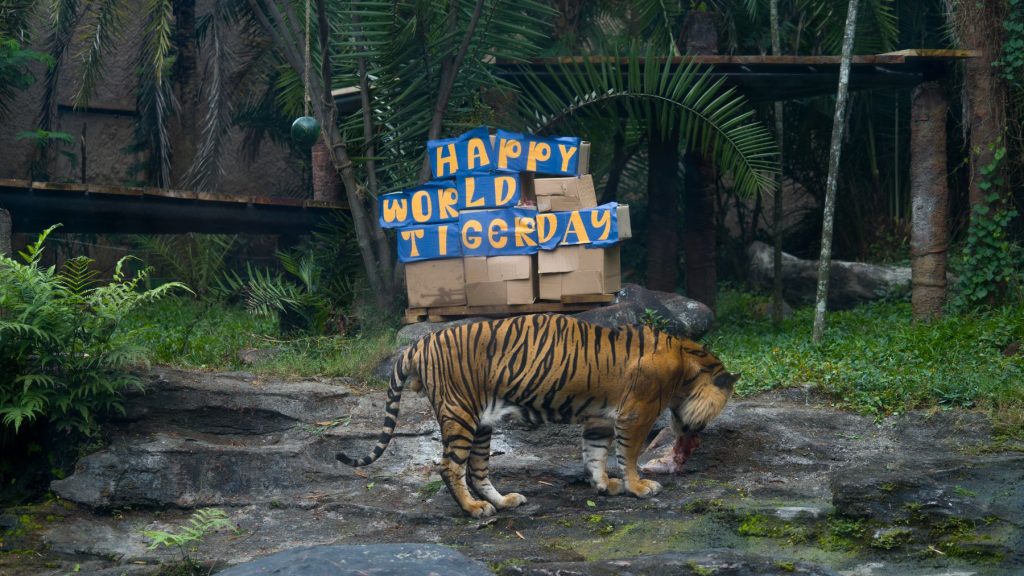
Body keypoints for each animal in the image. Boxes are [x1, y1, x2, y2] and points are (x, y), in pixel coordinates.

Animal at [337, 314, 738, 518]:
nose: (695, 435)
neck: (689, 366)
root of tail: (418, 344)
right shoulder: (636, 413)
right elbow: (629, 455)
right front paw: (639, 486)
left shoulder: (600, 419)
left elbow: (595, 454)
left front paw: (603, 485)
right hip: (460, 413)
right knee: (449, 467)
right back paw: (474, 509)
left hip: (481, 423)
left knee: (476, 470)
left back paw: (502, 502)